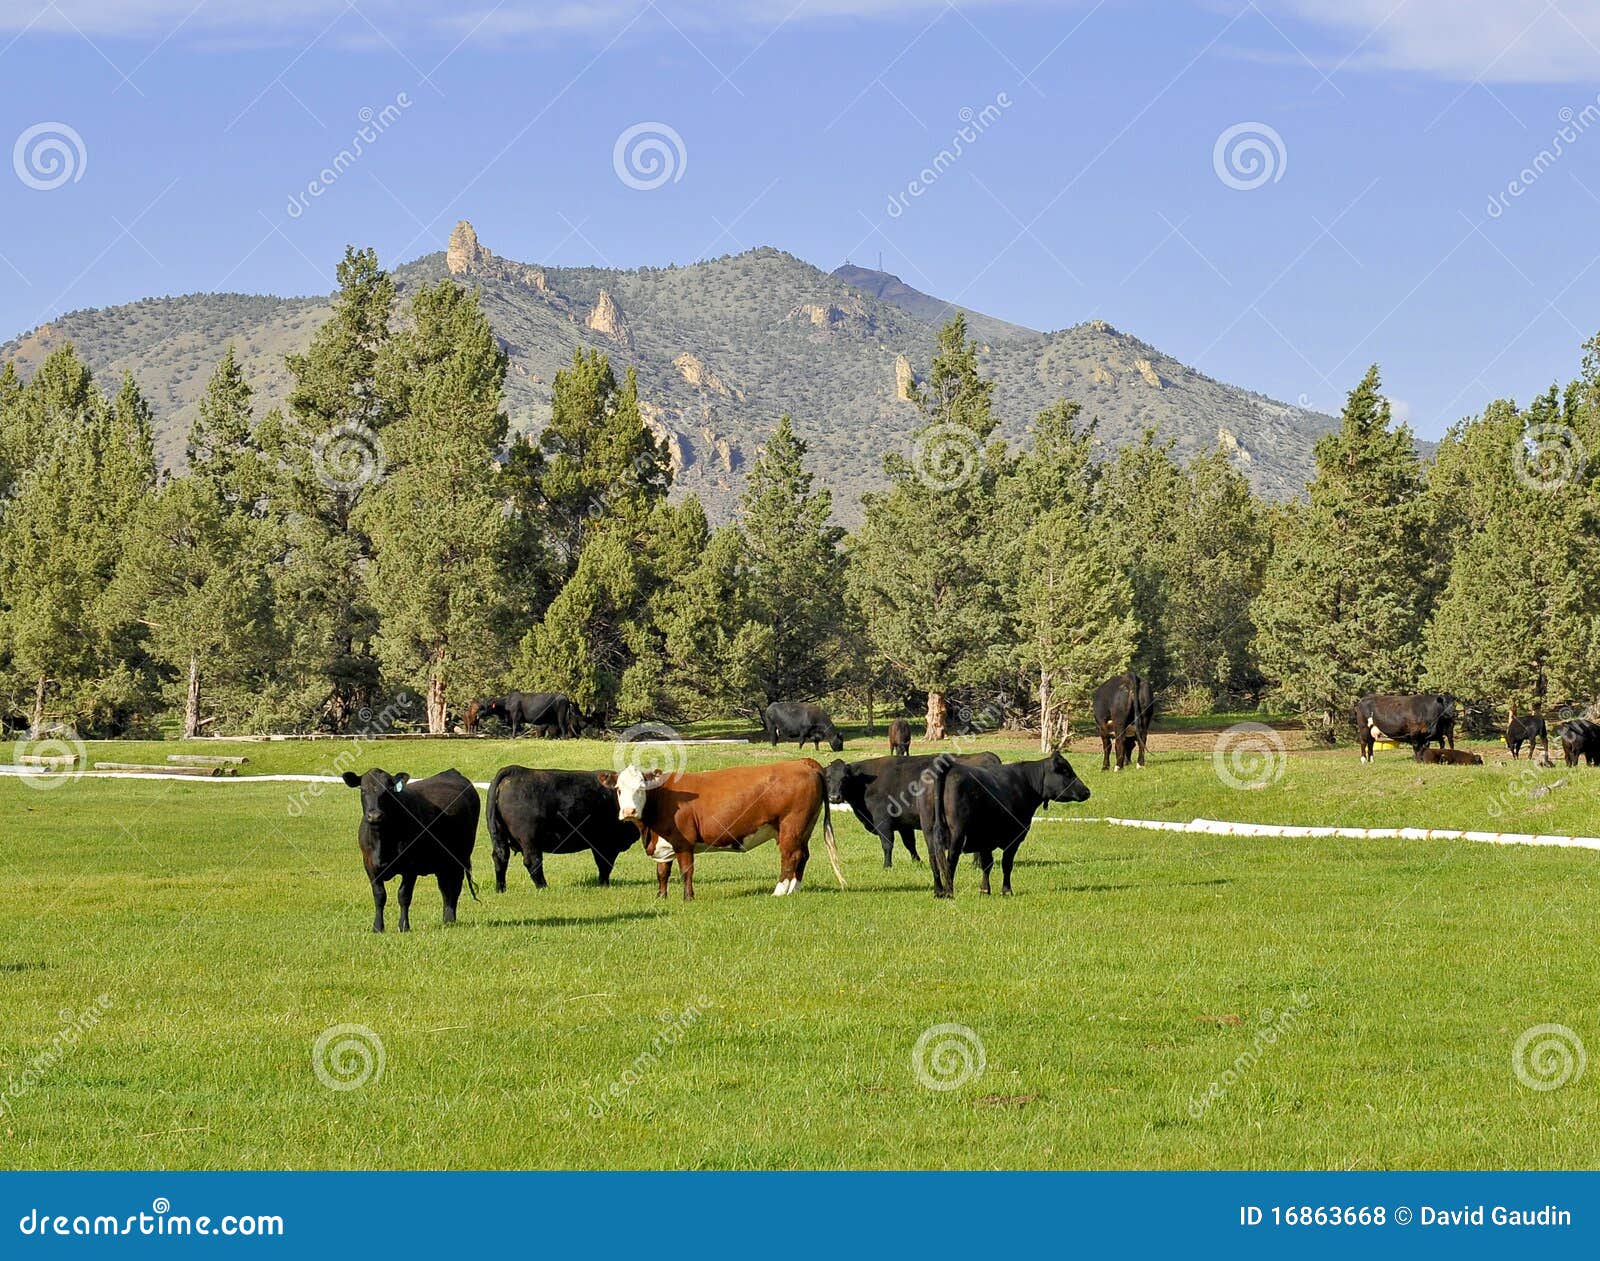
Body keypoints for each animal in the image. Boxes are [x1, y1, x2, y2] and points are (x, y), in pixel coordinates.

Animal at [340, 768, 480, 932]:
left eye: (389, 790)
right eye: (363, 789)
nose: (374, 815)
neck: (382, 841)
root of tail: (452, 772)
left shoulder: (410, 867)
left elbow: (404, 895)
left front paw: (404, 926)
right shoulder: (369, 866)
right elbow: (379, 896)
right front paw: (377, 927)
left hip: (459, 858)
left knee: (455, 887)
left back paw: (450, 919)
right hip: (442, 862)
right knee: (444, 888)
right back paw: (446, 919)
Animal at [487, 766, 639, 891]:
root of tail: (516, 770)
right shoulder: (606, 844)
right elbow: (604, 865)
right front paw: (604, 884)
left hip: (500, 835)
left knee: (500, 857)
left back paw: (501, 889)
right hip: (529, 839)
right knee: (533, 861)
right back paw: (543, 887)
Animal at [608, 760, 844, 899]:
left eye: (641, 788)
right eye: (618, 789)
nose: (629, 811)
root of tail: (802, 762)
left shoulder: (684, 842)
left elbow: (686, 871)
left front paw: (688, 898)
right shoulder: (664, 845)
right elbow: (662, 872)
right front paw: (661, 897)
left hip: (791, 826)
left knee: (790, 856)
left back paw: (778, 892)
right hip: (804, 828)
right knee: (803, 855)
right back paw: (794, 890)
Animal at [824, 751, 1001, 868]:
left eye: (845, 778)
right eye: (828, 778)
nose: (834, 797)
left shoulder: (883, 821)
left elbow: (887, 843)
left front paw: (887, 866)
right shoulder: (904, 823)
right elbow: (910, 843)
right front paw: (918, 861)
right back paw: (976, 864)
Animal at [919, 752, 1090, 898]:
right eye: (1066, 772)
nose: (1087, 791)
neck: (1026, 783)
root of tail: (951, 767)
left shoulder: (985, 840)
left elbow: (987, 864)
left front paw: (984, 890)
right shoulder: (1014, 838)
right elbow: (1007, 864)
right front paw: (1006, 890)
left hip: (929, 833)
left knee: (934, 862)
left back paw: (939, 892)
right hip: (957, 834)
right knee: (950, 862)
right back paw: (949, 893)